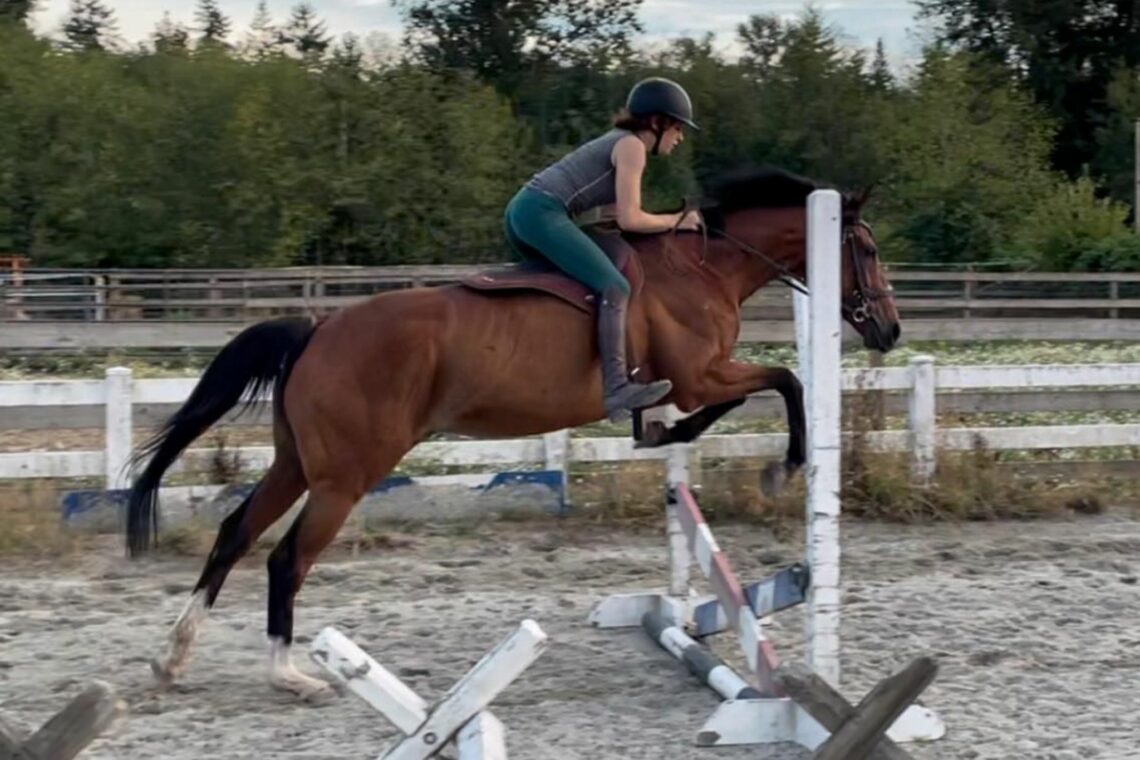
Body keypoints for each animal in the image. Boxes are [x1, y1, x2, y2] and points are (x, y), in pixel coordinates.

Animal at [122, 166, 900, 700]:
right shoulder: (701, 376)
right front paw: (778, 465)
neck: (704, 268)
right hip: (345, 476)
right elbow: (784, 383)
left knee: (235, 535)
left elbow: (751, 396)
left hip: (296, 463)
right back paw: (290, 674)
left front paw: (660, 433)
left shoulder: (702, 377)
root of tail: (317, 329)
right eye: (865, 247)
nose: (890, 330)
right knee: (286, 559)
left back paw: (172, 656)